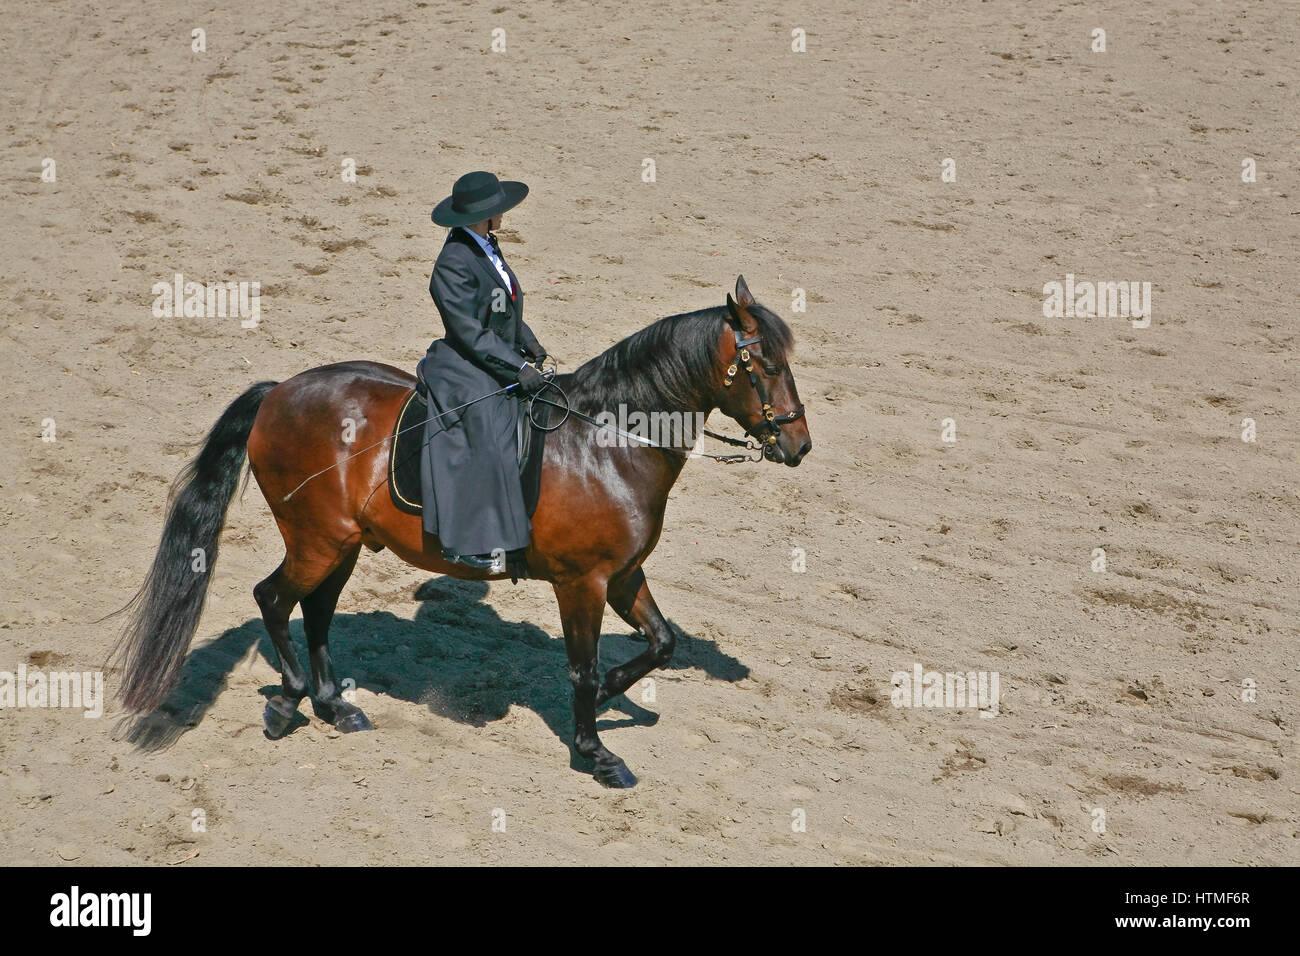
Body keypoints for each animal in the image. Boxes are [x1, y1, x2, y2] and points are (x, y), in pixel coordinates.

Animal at [111, 276, 811, 787]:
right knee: (274, 600)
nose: (799, 445)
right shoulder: (582, 583)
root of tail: (279, 391)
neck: (607, 444)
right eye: (766, 365)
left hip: (342, 546)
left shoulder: (622, 575)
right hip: (316, 541)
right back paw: (289, 703)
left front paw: (615, 694)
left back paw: (336, 705)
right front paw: (595, 752)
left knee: (316, 612)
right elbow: (583, 668)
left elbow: (662, 643)